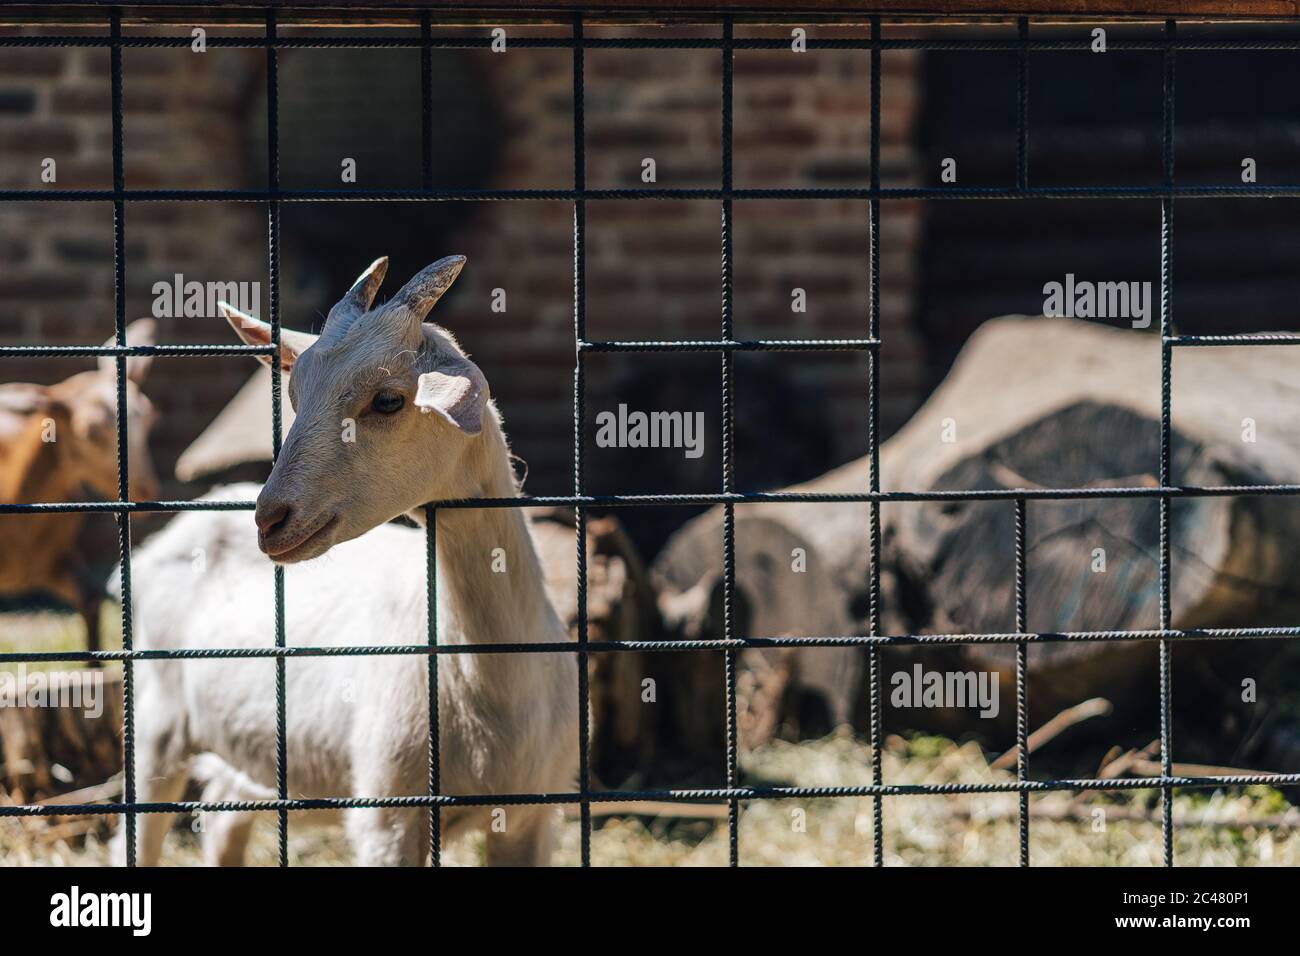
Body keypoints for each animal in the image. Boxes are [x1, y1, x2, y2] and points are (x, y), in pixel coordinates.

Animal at [120, 257, 578, 866]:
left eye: (387, 400)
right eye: (294, 393)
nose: (270, 519)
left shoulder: (532, 817)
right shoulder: (386, 816)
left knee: (220, 813)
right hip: (156, 722)